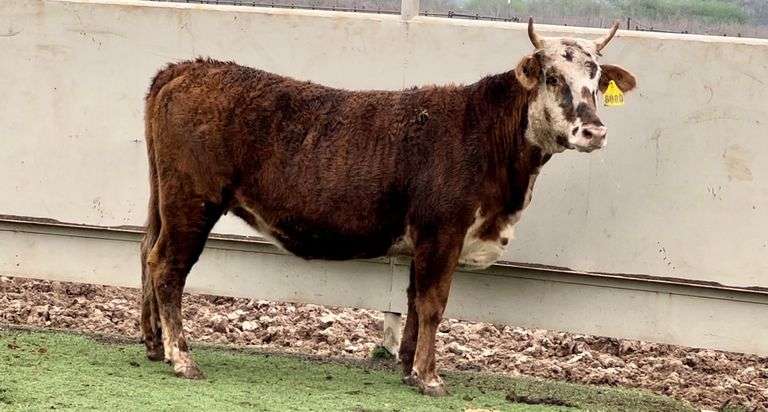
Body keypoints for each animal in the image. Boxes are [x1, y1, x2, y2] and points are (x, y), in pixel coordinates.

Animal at [139, 18, 636, 396]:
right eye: (554, 78)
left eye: (596, 80)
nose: (594, 131)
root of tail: (188, 68)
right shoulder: (443, 232)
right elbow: (434, 302)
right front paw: (430, 377)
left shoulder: (424, 240)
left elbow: (415, 300)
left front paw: (408, 367)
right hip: (191, 202)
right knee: (167, 266)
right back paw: (182, 356)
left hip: (162, 199)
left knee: (146, 252)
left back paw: (152, 343)